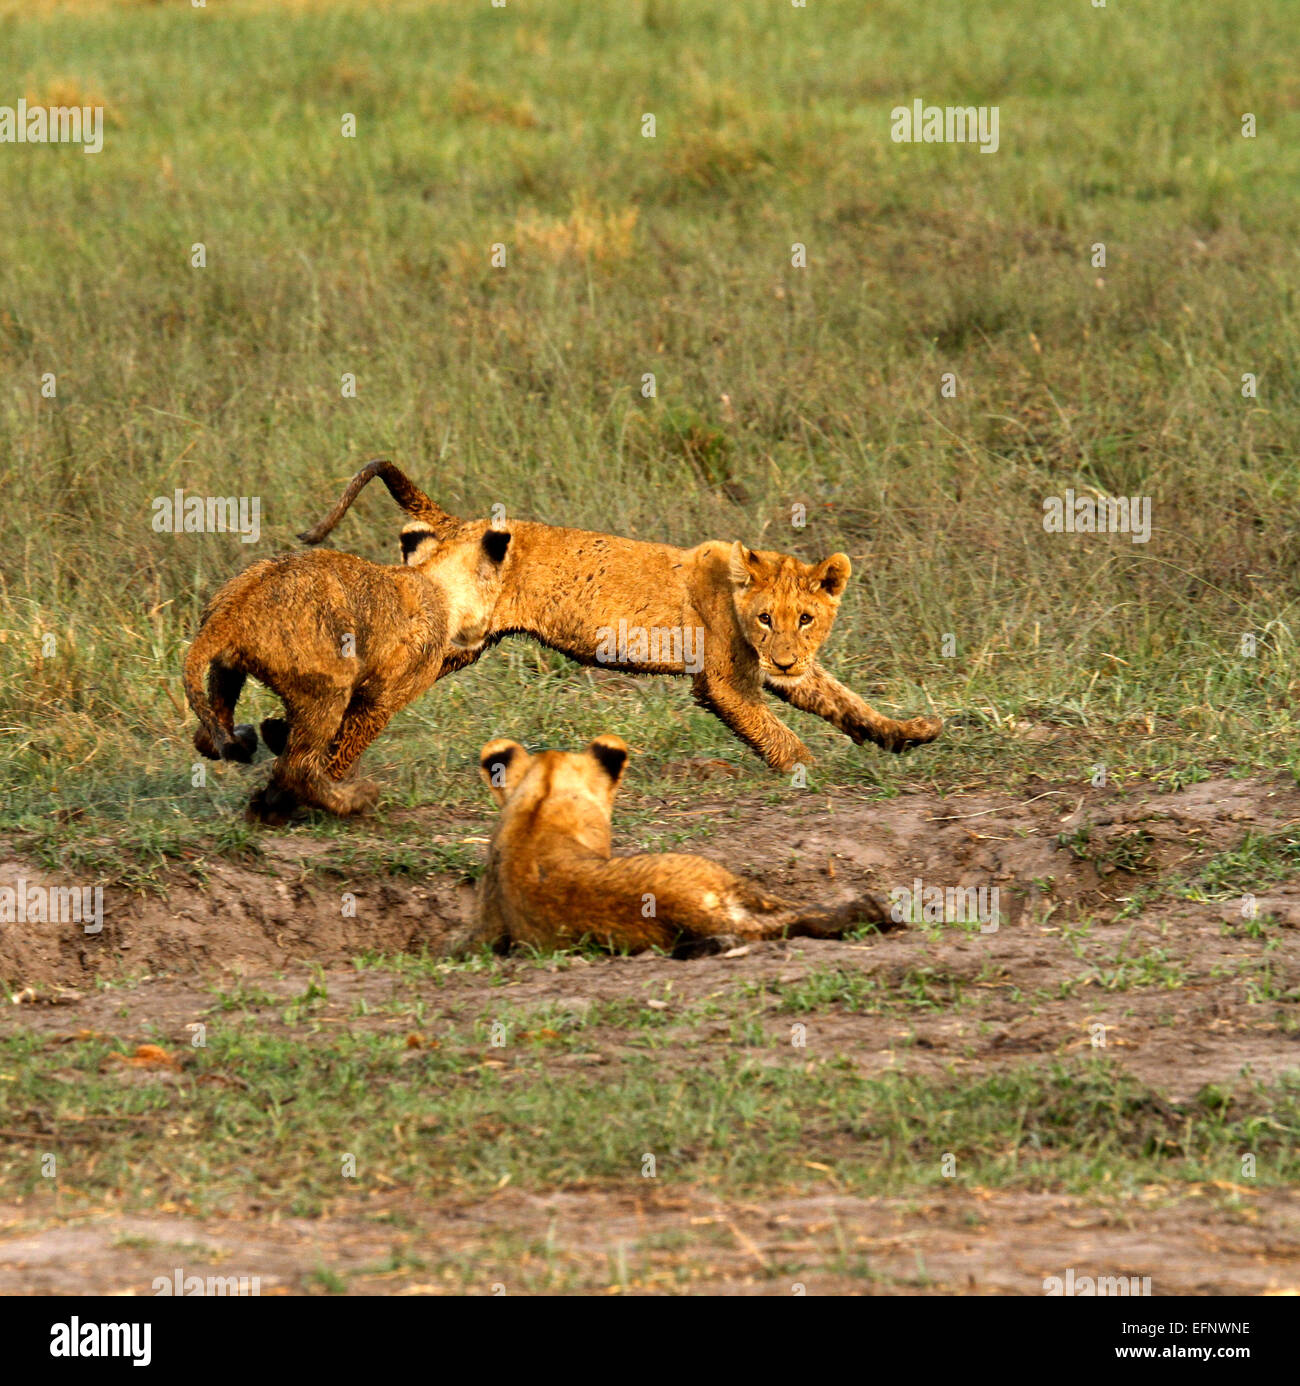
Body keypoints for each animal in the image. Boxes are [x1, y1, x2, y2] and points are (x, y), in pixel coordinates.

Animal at [183, 528, 511, 824]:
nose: (486, 636)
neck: (432, 582)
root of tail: (231, 611)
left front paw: (275, 738)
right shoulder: (380, 698)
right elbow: (345, 749)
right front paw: (277, 800)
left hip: (227, 669)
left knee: (208, 734)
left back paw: (247, 744)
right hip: (331, 685)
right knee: (297, 768)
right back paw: (356, 799)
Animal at [298, 459, 942, 771]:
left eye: (805, 618)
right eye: (766, 617)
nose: (783, 658)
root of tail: (461, 524)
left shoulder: (784, 671)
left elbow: (846, 702)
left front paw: (910, 732)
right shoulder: (723, 682)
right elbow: (777, 733)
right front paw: (811, 770)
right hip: (449, 639)